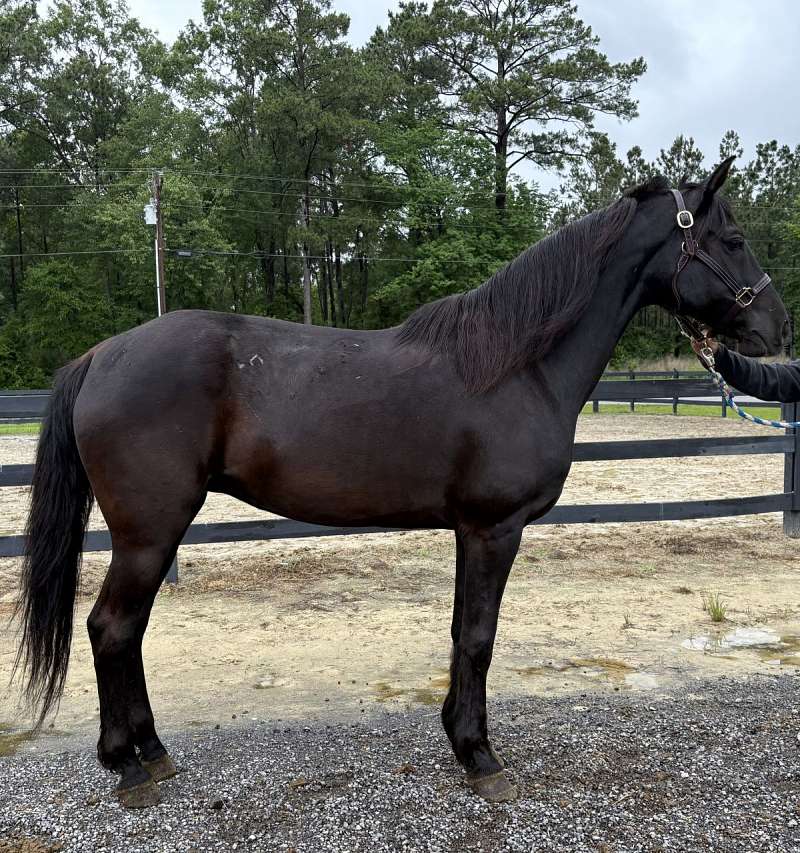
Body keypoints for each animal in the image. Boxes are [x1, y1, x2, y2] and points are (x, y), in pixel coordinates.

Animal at [14, 157, 790, 807]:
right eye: (733, 238)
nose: (775, 328)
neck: (517, 366)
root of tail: (102, 355)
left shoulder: (468, 530)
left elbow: (459, 631)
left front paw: (457, 738)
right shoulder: (494, 528)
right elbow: (478, 636)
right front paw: (481, 757)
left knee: (128, 632)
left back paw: (152, 750)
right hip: (149, 534)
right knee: (111, 628)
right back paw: (128, 764)